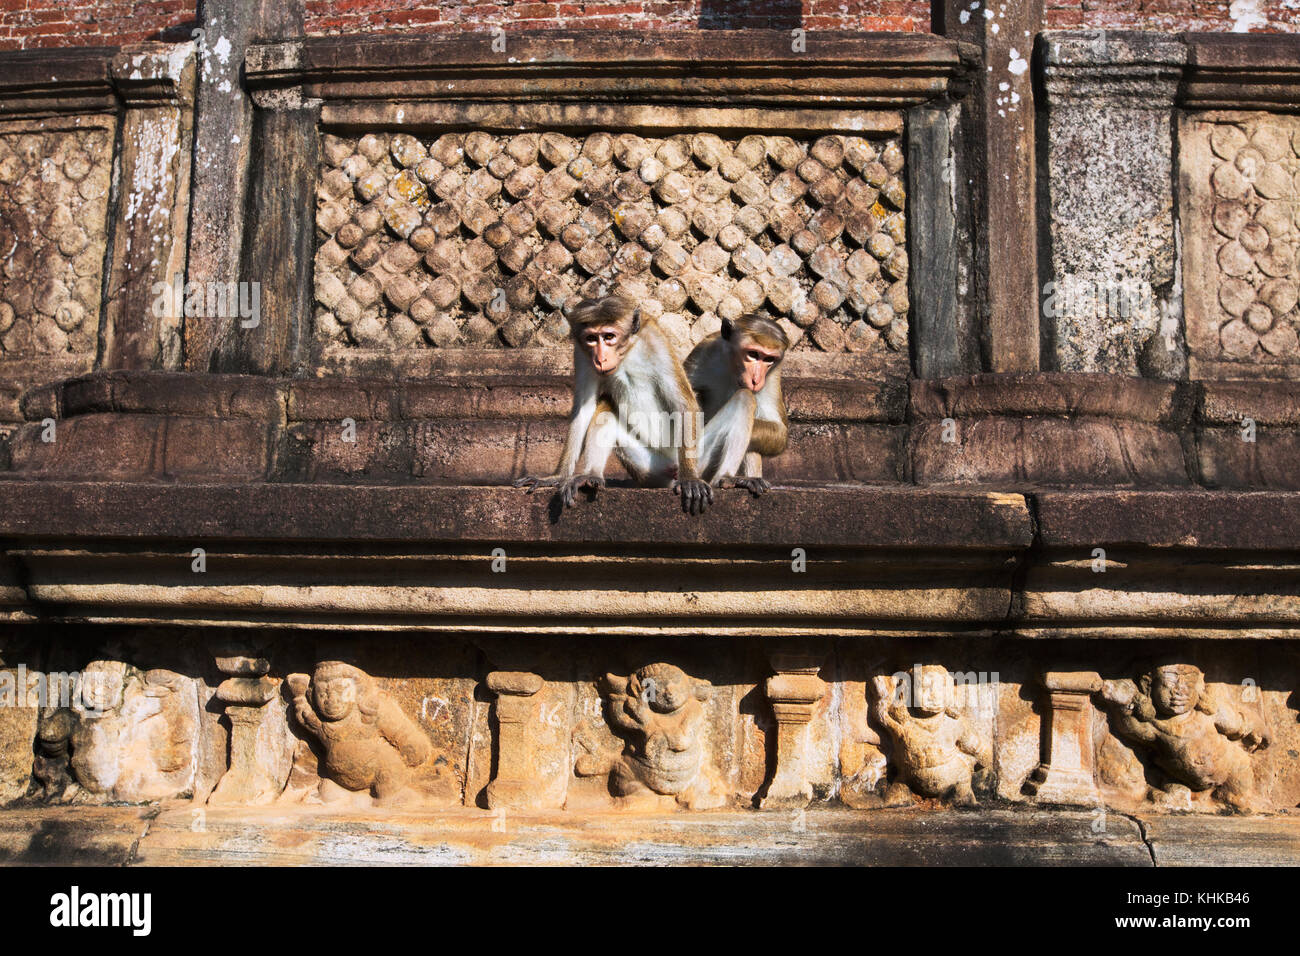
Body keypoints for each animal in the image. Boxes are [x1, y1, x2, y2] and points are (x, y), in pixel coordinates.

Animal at [514, 295, 715, 514]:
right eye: (592, 339)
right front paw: (557, 477)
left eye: (609, 336)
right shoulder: (582, 353)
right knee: (605, 407)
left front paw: (691, 479)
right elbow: (584, 409)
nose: (601, 359)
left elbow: (682, 404)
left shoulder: (656, 339)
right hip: (650, 469)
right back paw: (590, 475)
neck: (626, 353)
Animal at [684, 312, 790, 496]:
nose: (756, 380)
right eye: (753, 354)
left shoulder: (773, 374)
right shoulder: (703, 352)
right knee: (745, 398)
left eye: (769, 359)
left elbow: (779, 432)